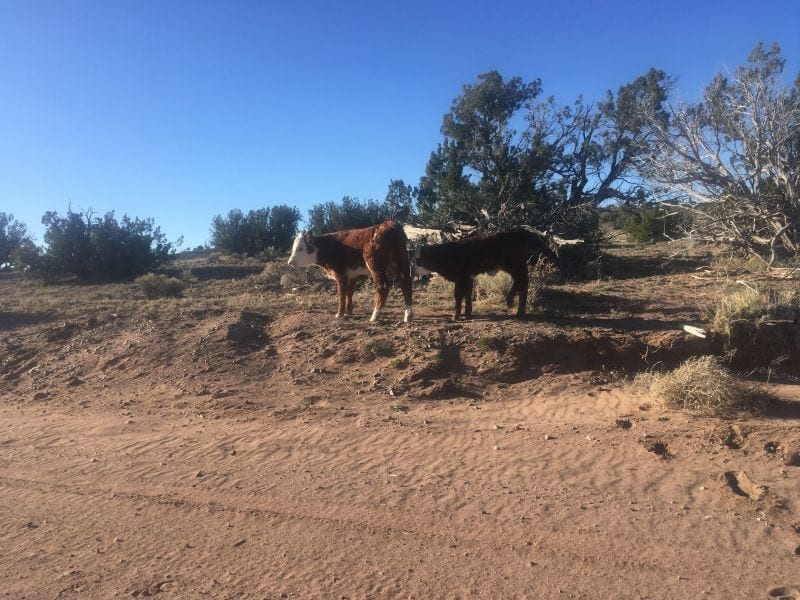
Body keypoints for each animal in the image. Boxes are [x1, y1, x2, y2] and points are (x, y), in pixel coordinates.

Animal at [414, 228, 559, 321]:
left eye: (419, 260)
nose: (413, 270)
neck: (446, 255)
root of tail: (520, 232)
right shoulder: (469, 277)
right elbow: (468, 294)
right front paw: (467, 313)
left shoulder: (461, 277)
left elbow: (458, 295)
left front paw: (456, 316)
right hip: (515, 267)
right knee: (520, 283)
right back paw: (512, 302)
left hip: (515, 266)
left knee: (522, 283)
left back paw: (518, 310)